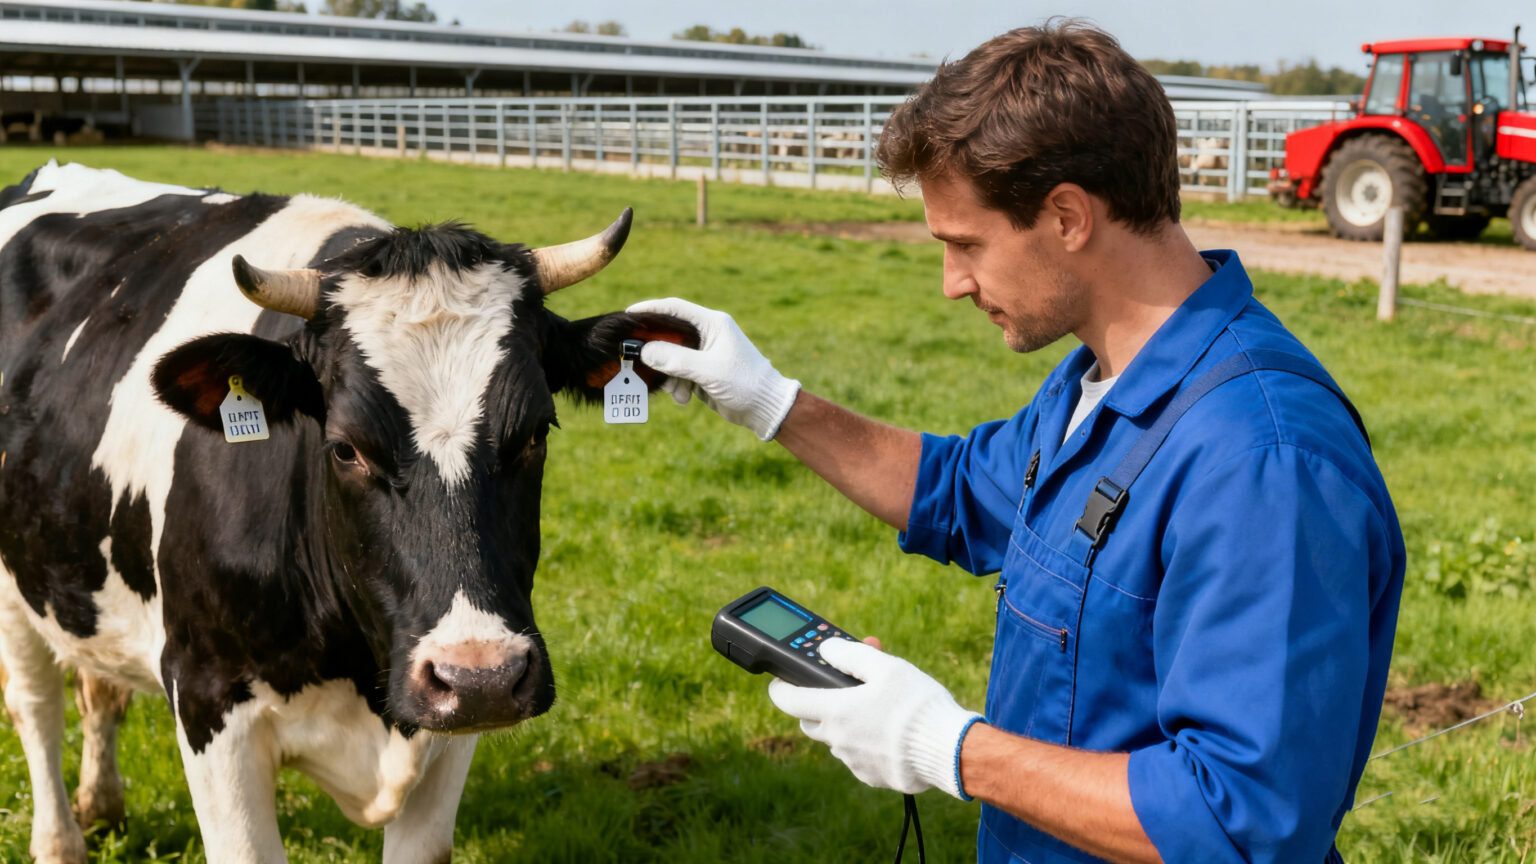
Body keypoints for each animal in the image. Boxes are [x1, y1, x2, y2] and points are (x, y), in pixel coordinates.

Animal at [0, 161, 694, 864]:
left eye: (535, 433)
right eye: (344, 448)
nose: (480, 677)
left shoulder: (453, 728)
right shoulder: (207, 698)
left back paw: (103, 804)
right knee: (36, 707)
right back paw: (59, 840)